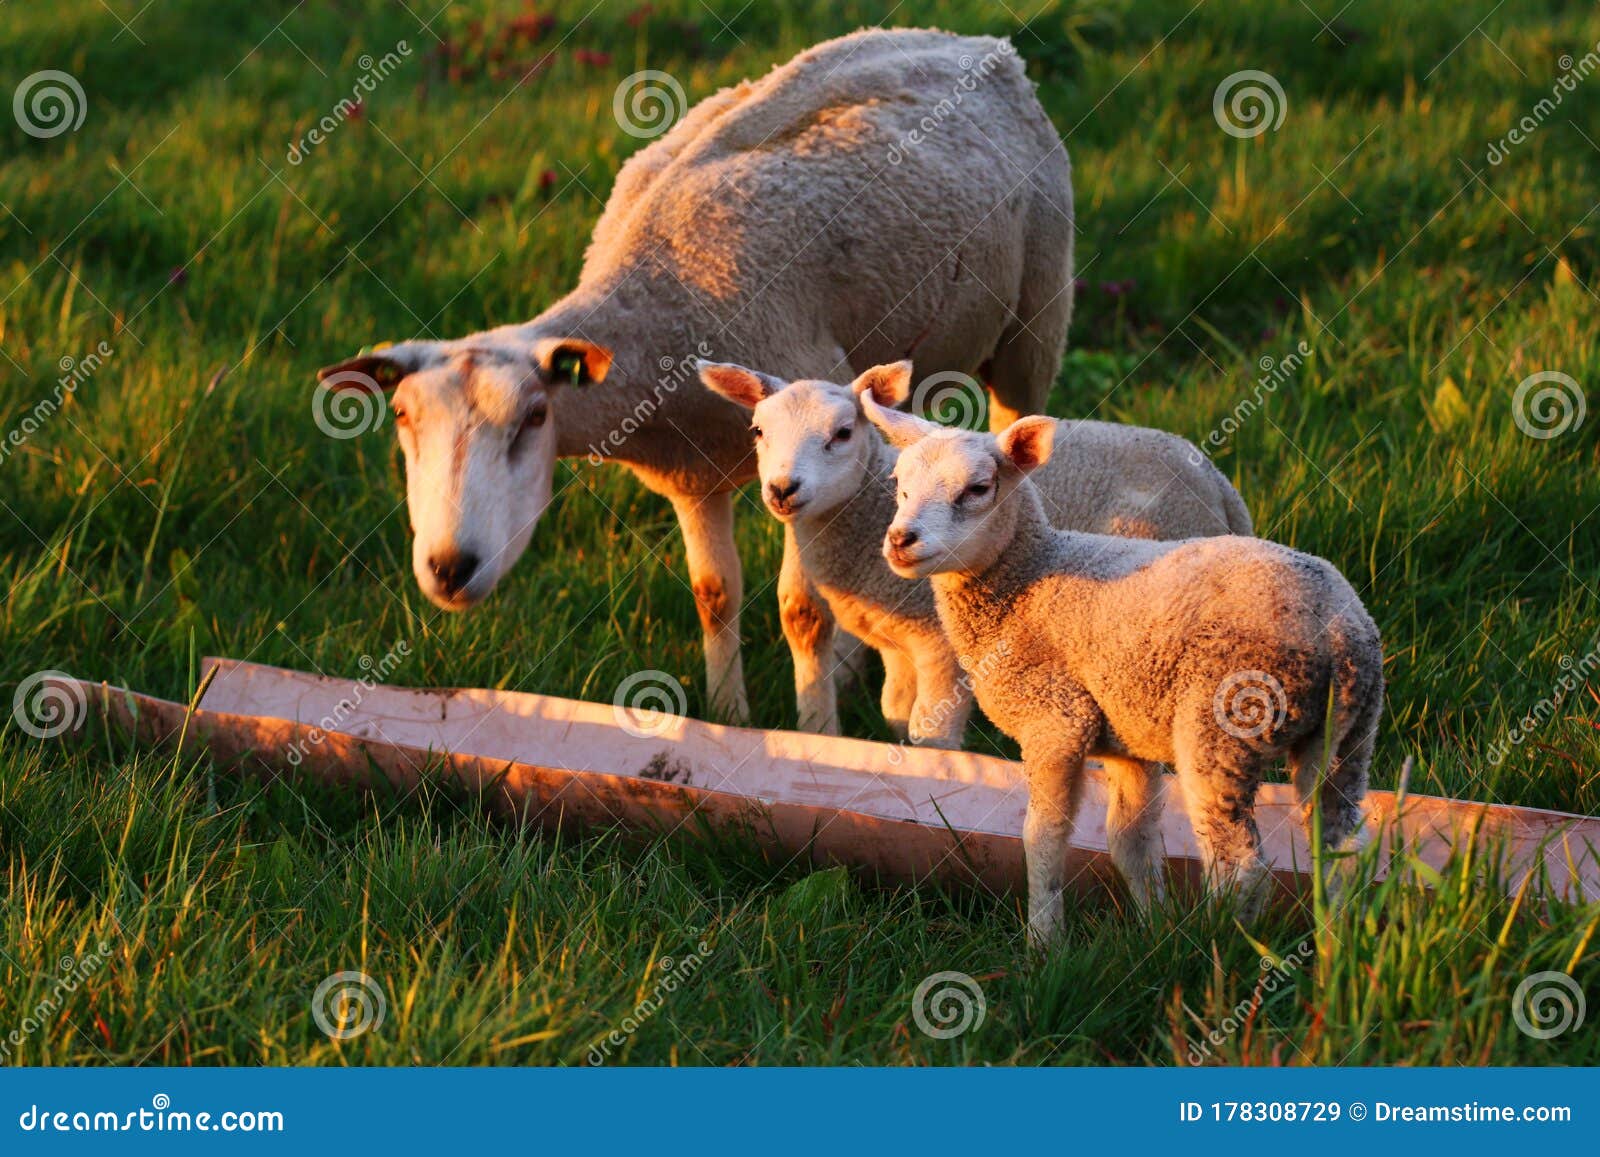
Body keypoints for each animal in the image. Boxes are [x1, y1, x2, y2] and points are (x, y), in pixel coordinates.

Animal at [313, 28, 1075, 724]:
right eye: (402, 419)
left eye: (533, 417)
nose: (450, 568)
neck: (656, 311)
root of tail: (978, 41)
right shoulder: (690, 476)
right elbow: (714, 594)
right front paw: (729, 717)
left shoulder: (803, 455)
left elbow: (801, 612)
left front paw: (816, 728)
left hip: (1037, 318)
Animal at [698, 359, 1253, 743]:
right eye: (757, 431)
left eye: (842, 433)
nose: (782, 490)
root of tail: (1218, 485)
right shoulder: (898, 642)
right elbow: (896, 713)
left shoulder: (939, 646)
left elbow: (930, 733)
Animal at [861, 395, 1384, 943]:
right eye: (898, 484)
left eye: (978, 489)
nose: (900, 540)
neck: (1029, 580)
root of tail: (1335, 626)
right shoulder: (1127, 738)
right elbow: (1129, 840)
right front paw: (1154, 924)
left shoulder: (1057, 722)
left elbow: (1041, 837)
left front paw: (1044, 943)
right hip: (1351, 732)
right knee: (1343, 848)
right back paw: (1336, 944)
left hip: (1226, 720)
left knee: (1241, 866)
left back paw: (1214, 946)